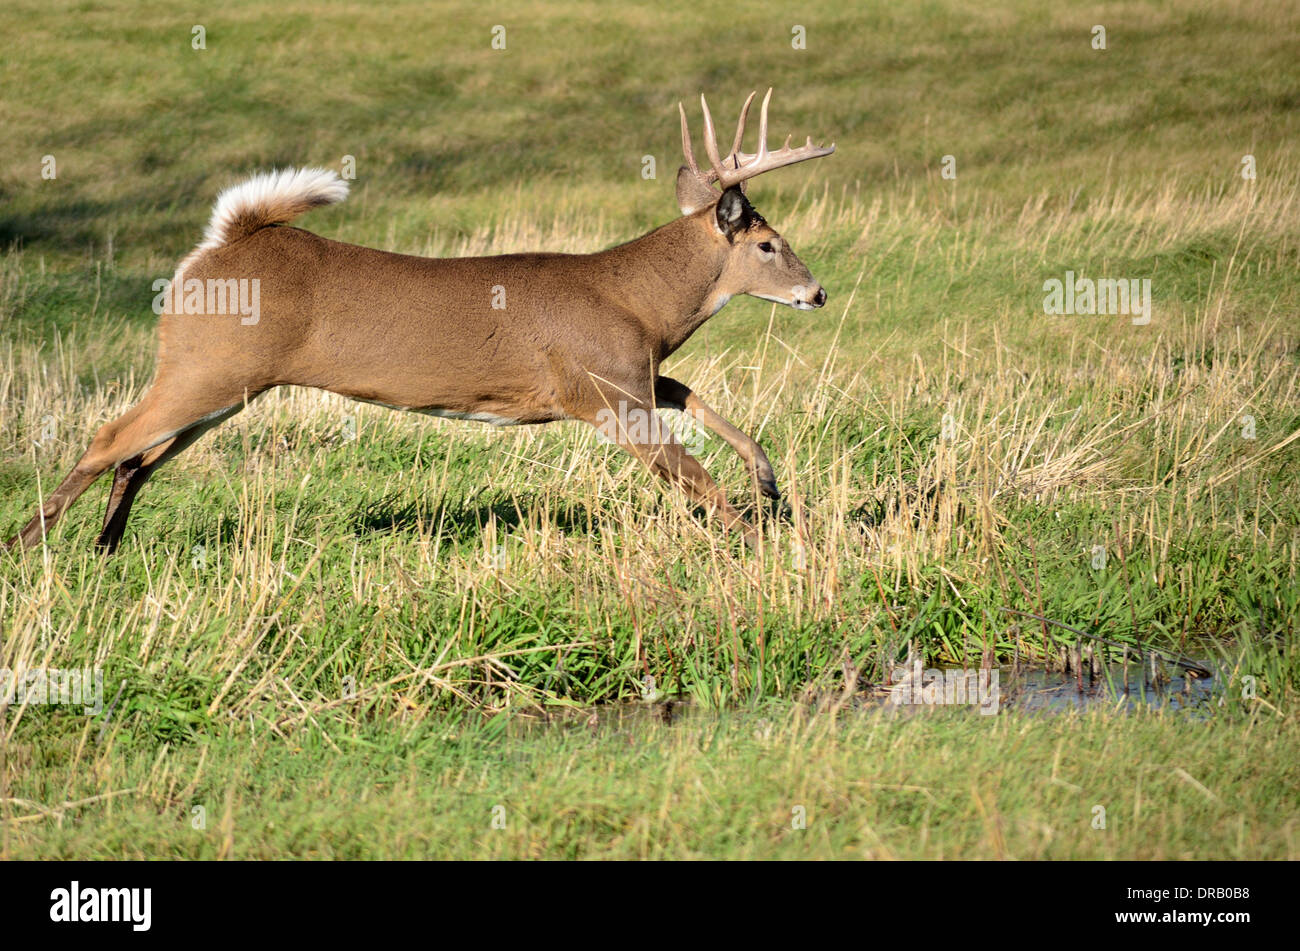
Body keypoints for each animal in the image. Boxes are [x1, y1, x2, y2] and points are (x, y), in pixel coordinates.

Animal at [6, 89, 834, 555]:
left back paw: (105, 547)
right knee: (110, 438)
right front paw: (770, 546)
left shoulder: (631, 375)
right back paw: (29, 547)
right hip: (206, 366)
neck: (638, 301)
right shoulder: (601, 390)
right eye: (768, 243)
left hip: (225, 381)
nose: (817, 293)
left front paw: (769, 485)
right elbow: (695, 477)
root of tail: (218, 244)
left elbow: (699, 400)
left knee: (137, 456)